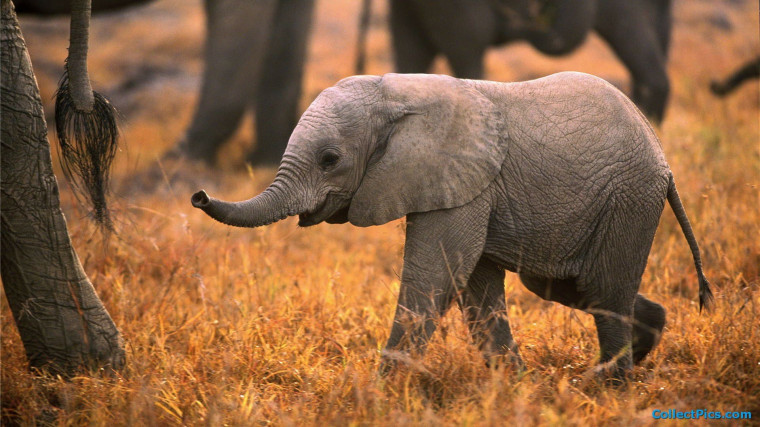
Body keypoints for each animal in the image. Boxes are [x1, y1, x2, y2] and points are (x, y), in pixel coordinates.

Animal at [191, 72, 713, 380]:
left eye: (330, 159)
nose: (198, 195)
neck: (394, 93)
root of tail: (662, 158)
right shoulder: (467, 186)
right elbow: (475, 287)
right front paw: (512, 385)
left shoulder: (463, 179)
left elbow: (435, 276)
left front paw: (379, 391)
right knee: (572, 287)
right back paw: (644, 345)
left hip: (628, 198)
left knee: (604, 291)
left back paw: (603, 383)